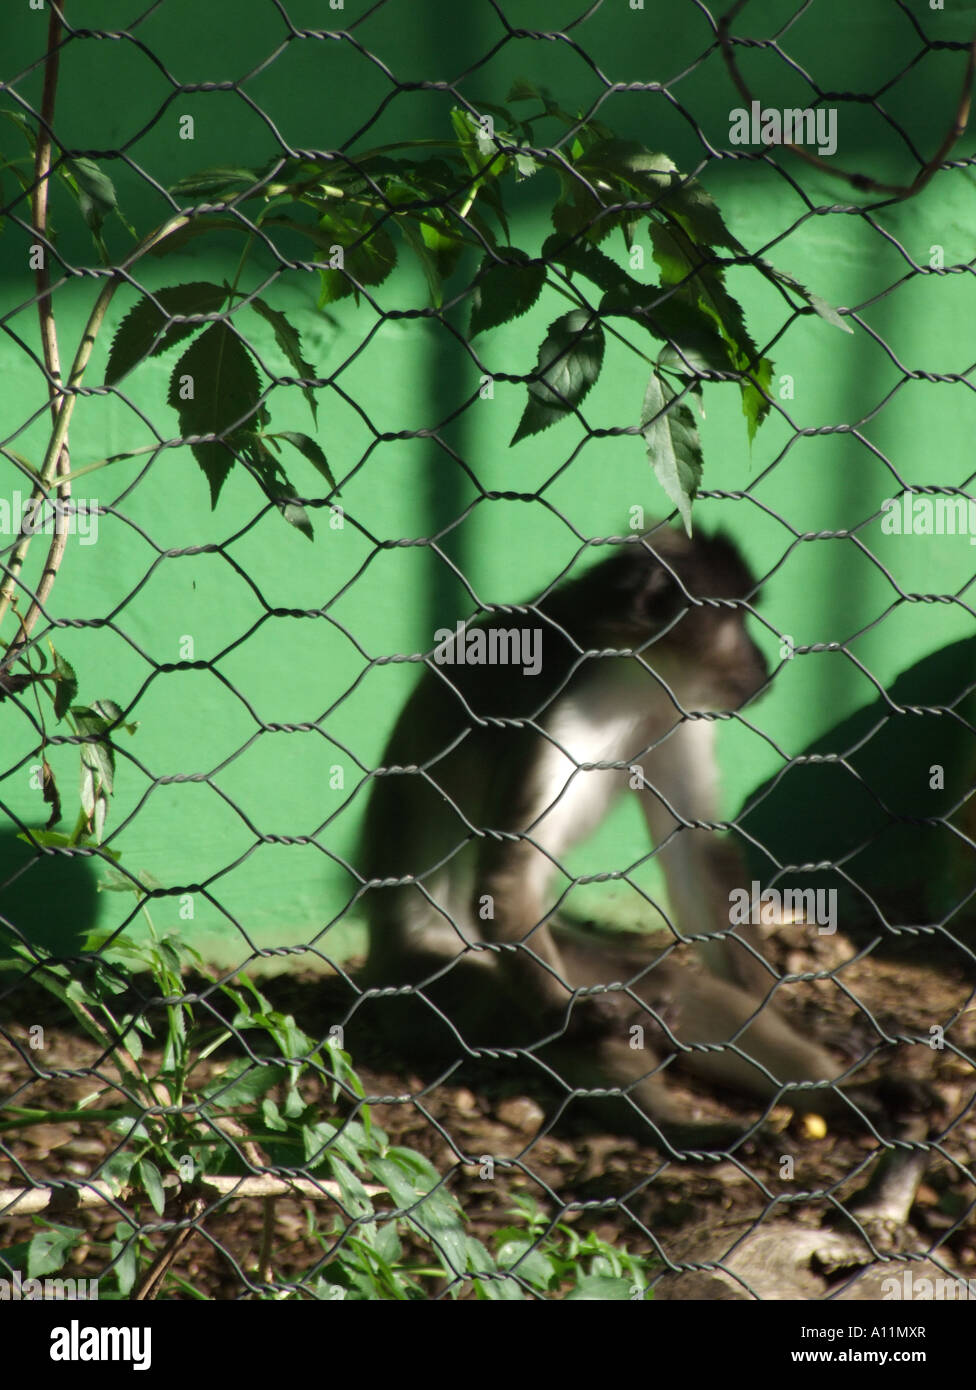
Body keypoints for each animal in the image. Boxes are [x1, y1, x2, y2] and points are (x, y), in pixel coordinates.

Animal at [356, 524, 853, 1144]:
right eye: (737, 621)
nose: (763, 662)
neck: (628, 675)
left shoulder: (678, 711)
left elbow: (696, 854)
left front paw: (786, 1013)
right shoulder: (552, 709)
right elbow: (508, 878)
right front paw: (579, 1019)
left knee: (678, 985)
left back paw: (849, 1099)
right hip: (424, 986)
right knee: (541, 1018)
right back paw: (678, 1126)